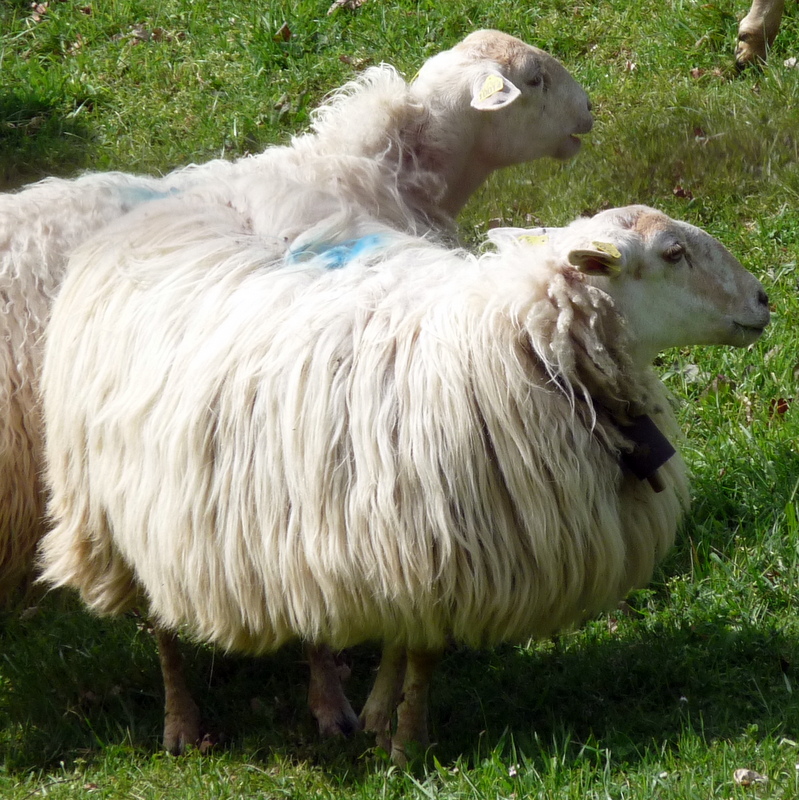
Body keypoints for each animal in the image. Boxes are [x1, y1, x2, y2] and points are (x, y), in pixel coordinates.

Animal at [37, 199, 769, 763]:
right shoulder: (431, 538)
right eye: (674, 253)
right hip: (115, 511)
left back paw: (329, 708)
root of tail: (140, 219)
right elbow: (422, 654)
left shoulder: (402, 536)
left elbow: (399, 644)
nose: (763, 299)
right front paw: (408, 748)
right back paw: (182, 724)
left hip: (289, 512)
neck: (524, 346)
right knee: (160, 626)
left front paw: (378, 716)